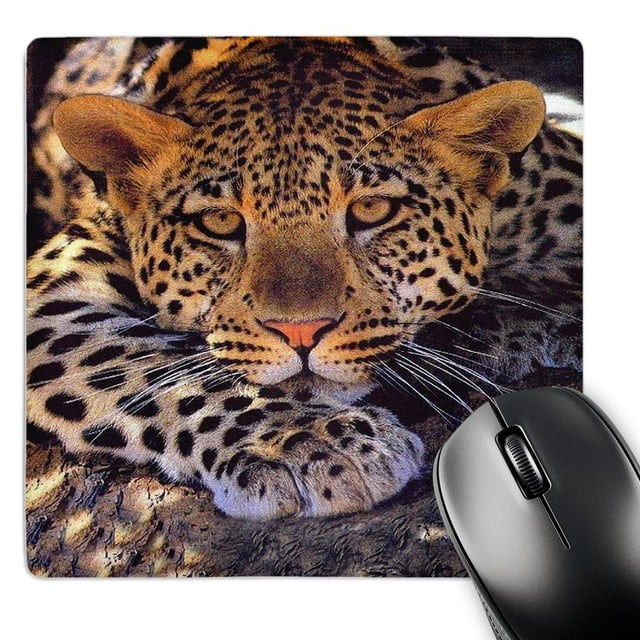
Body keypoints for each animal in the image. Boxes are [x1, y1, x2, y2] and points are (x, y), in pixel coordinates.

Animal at [26, 37, 582, 522]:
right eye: (220, 221)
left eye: (372, 209)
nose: (301, 332)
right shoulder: (53, 290)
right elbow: (160, 369)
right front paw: (311, 444)